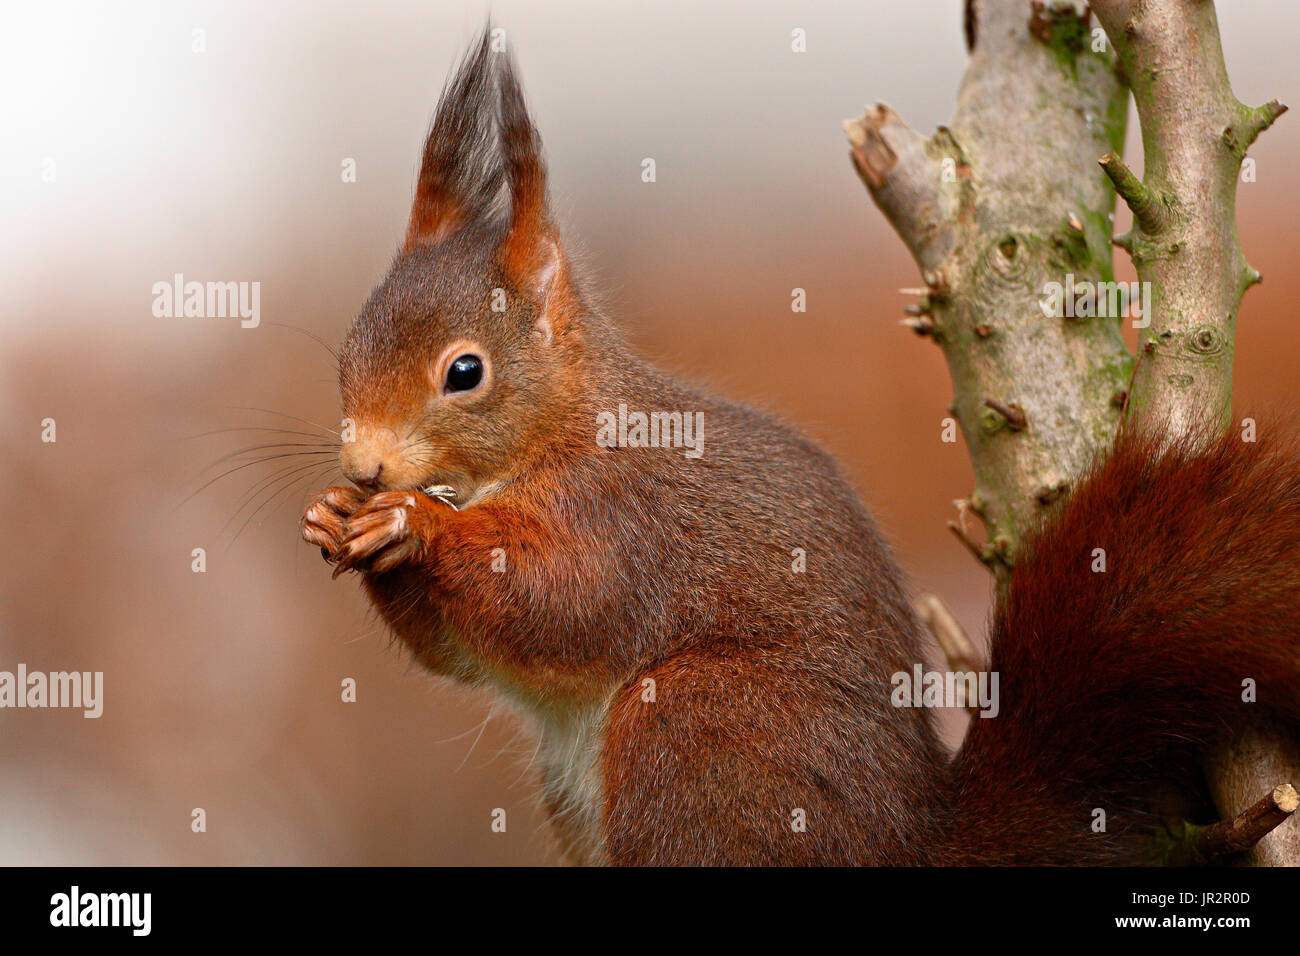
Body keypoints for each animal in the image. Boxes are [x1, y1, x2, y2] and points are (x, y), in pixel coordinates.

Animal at [299, 30, 1300, 865]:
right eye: (347, 348)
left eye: (464, 373)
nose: (365, 468)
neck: (557, 434)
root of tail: (904, 842)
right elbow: (458, 654)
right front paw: (338, 515)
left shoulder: (621, 516)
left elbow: (565, 603)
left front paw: (410, 522)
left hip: (699, 730)